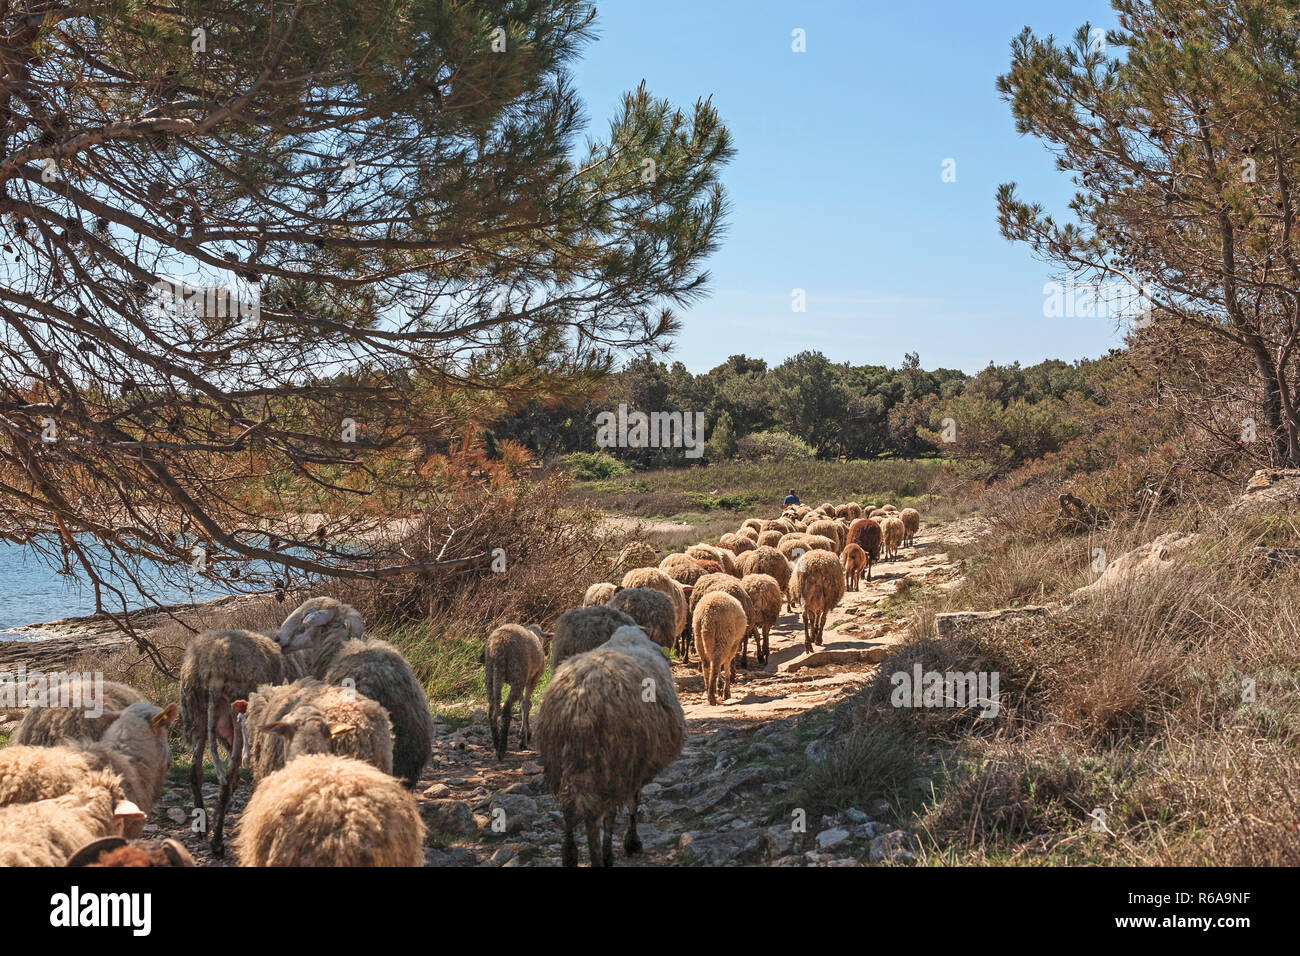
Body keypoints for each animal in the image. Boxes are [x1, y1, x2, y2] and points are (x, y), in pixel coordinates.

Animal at [180, 626, 303, 853]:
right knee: (227, 777)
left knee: (195, 770)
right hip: (236, 714)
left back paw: (203, 825)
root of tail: (213, 668)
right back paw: (217, 842)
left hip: (196, 713)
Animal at [482, 624, 547, 760]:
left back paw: (496, 743)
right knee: (506, 710)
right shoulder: (533, 678)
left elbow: (524, 703)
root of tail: (498, 646)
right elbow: (526, 705)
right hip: (518, 674)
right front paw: (523, 738)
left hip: (491, 674)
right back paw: (502, 749)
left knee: (492, 710)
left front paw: (527, 733)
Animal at [535, 625, 685, 866]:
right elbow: (632, 804)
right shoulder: (633, 767)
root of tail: (579, 701)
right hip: (609, 763)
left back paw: (570, 854)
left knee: (570, 809)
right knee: (594, 816)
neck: (627, 640)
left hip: (560, 760)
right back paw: (600, 857)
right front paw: (631, 843)